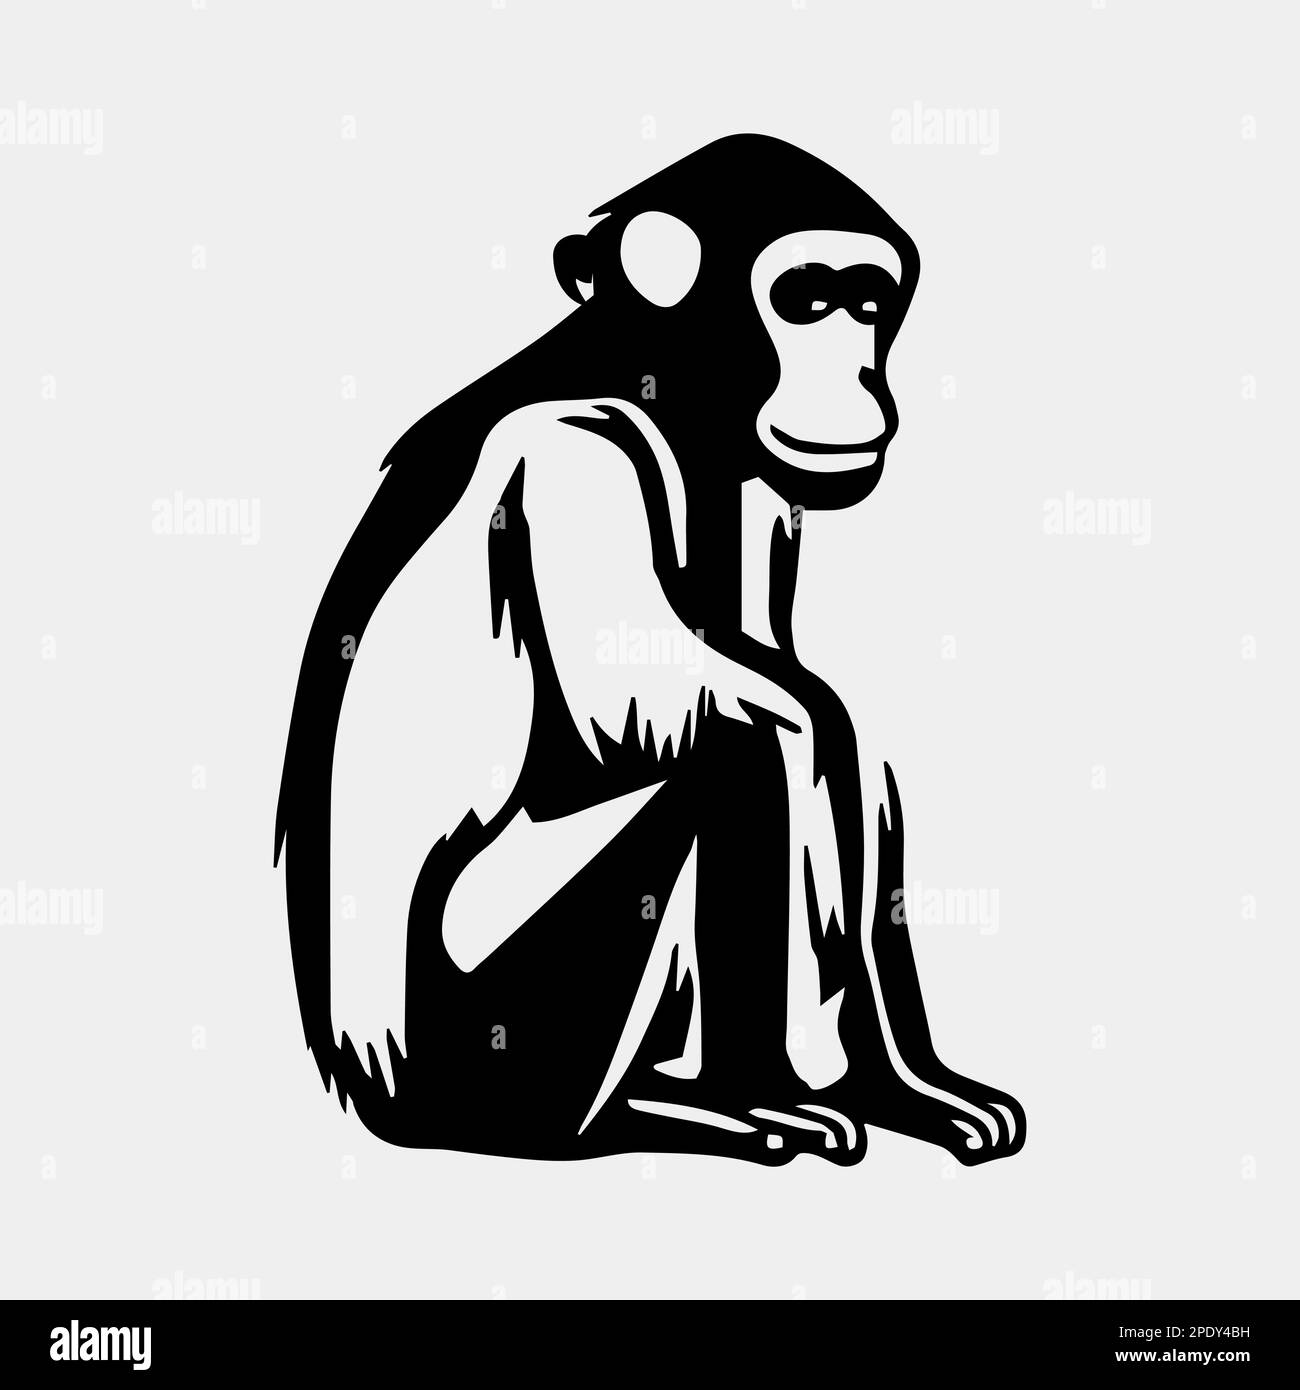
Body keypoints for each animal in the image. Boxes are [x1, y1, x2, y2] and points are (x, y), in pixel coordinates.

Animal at [275, 134, 1026, 1166]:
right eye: (807, 300)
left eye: (870, 303)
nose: (860, 371)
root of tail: (361, 1084)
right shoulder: (570, 455)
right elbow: (706, 709)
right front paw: (800, 1081)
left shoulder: (769, 498)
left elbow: (824, 734)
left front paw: (894, 1082)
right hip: (482, 1035)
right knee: (725, 757)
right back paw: (722, 1103)